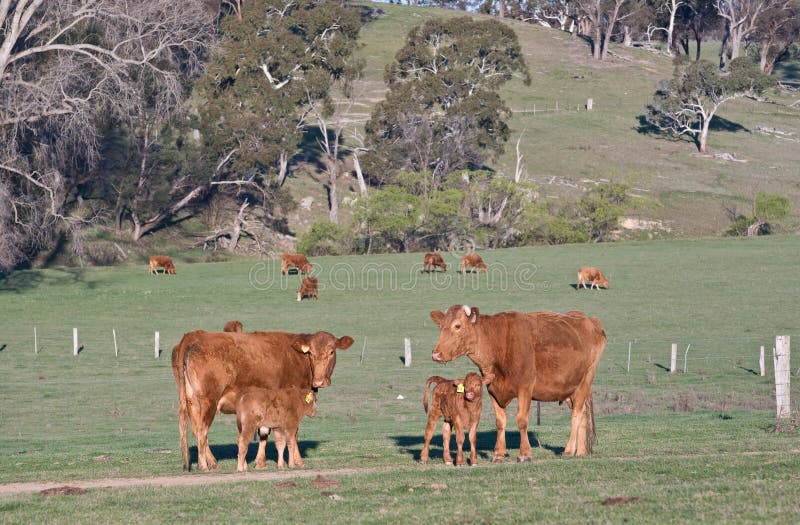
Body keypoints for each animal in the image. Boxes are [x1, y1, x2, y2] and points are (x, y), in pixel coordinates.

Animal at [172, 329, 354, 471]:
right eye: (311, 353)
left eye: (331, 352)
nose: (319, 381)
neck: (298, 359)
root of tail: (194, 336)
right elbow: (292, 434)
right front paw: (297, 461)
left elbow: (265, 433)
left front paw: (260, 462)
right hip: (208, 400)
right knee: (202, 430)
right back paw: (204, 465)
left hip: (191, 402)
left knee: (197, 430)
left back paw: (212, 463)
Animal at [430, 304, 606, 463]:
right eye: (441, 326)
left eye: (457, 325)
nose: (436, 354)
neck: (498, 344)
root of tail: (589, 320)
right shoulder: (492, 390)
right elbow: (500, 422)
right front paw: (498, 454)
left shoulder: (525, 388)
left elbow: (521, 421)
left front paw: (525, 454)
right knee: (583, 415)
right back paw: (581, 451)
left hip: (586, 379)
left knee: (576, 414)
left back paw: (569, 450)